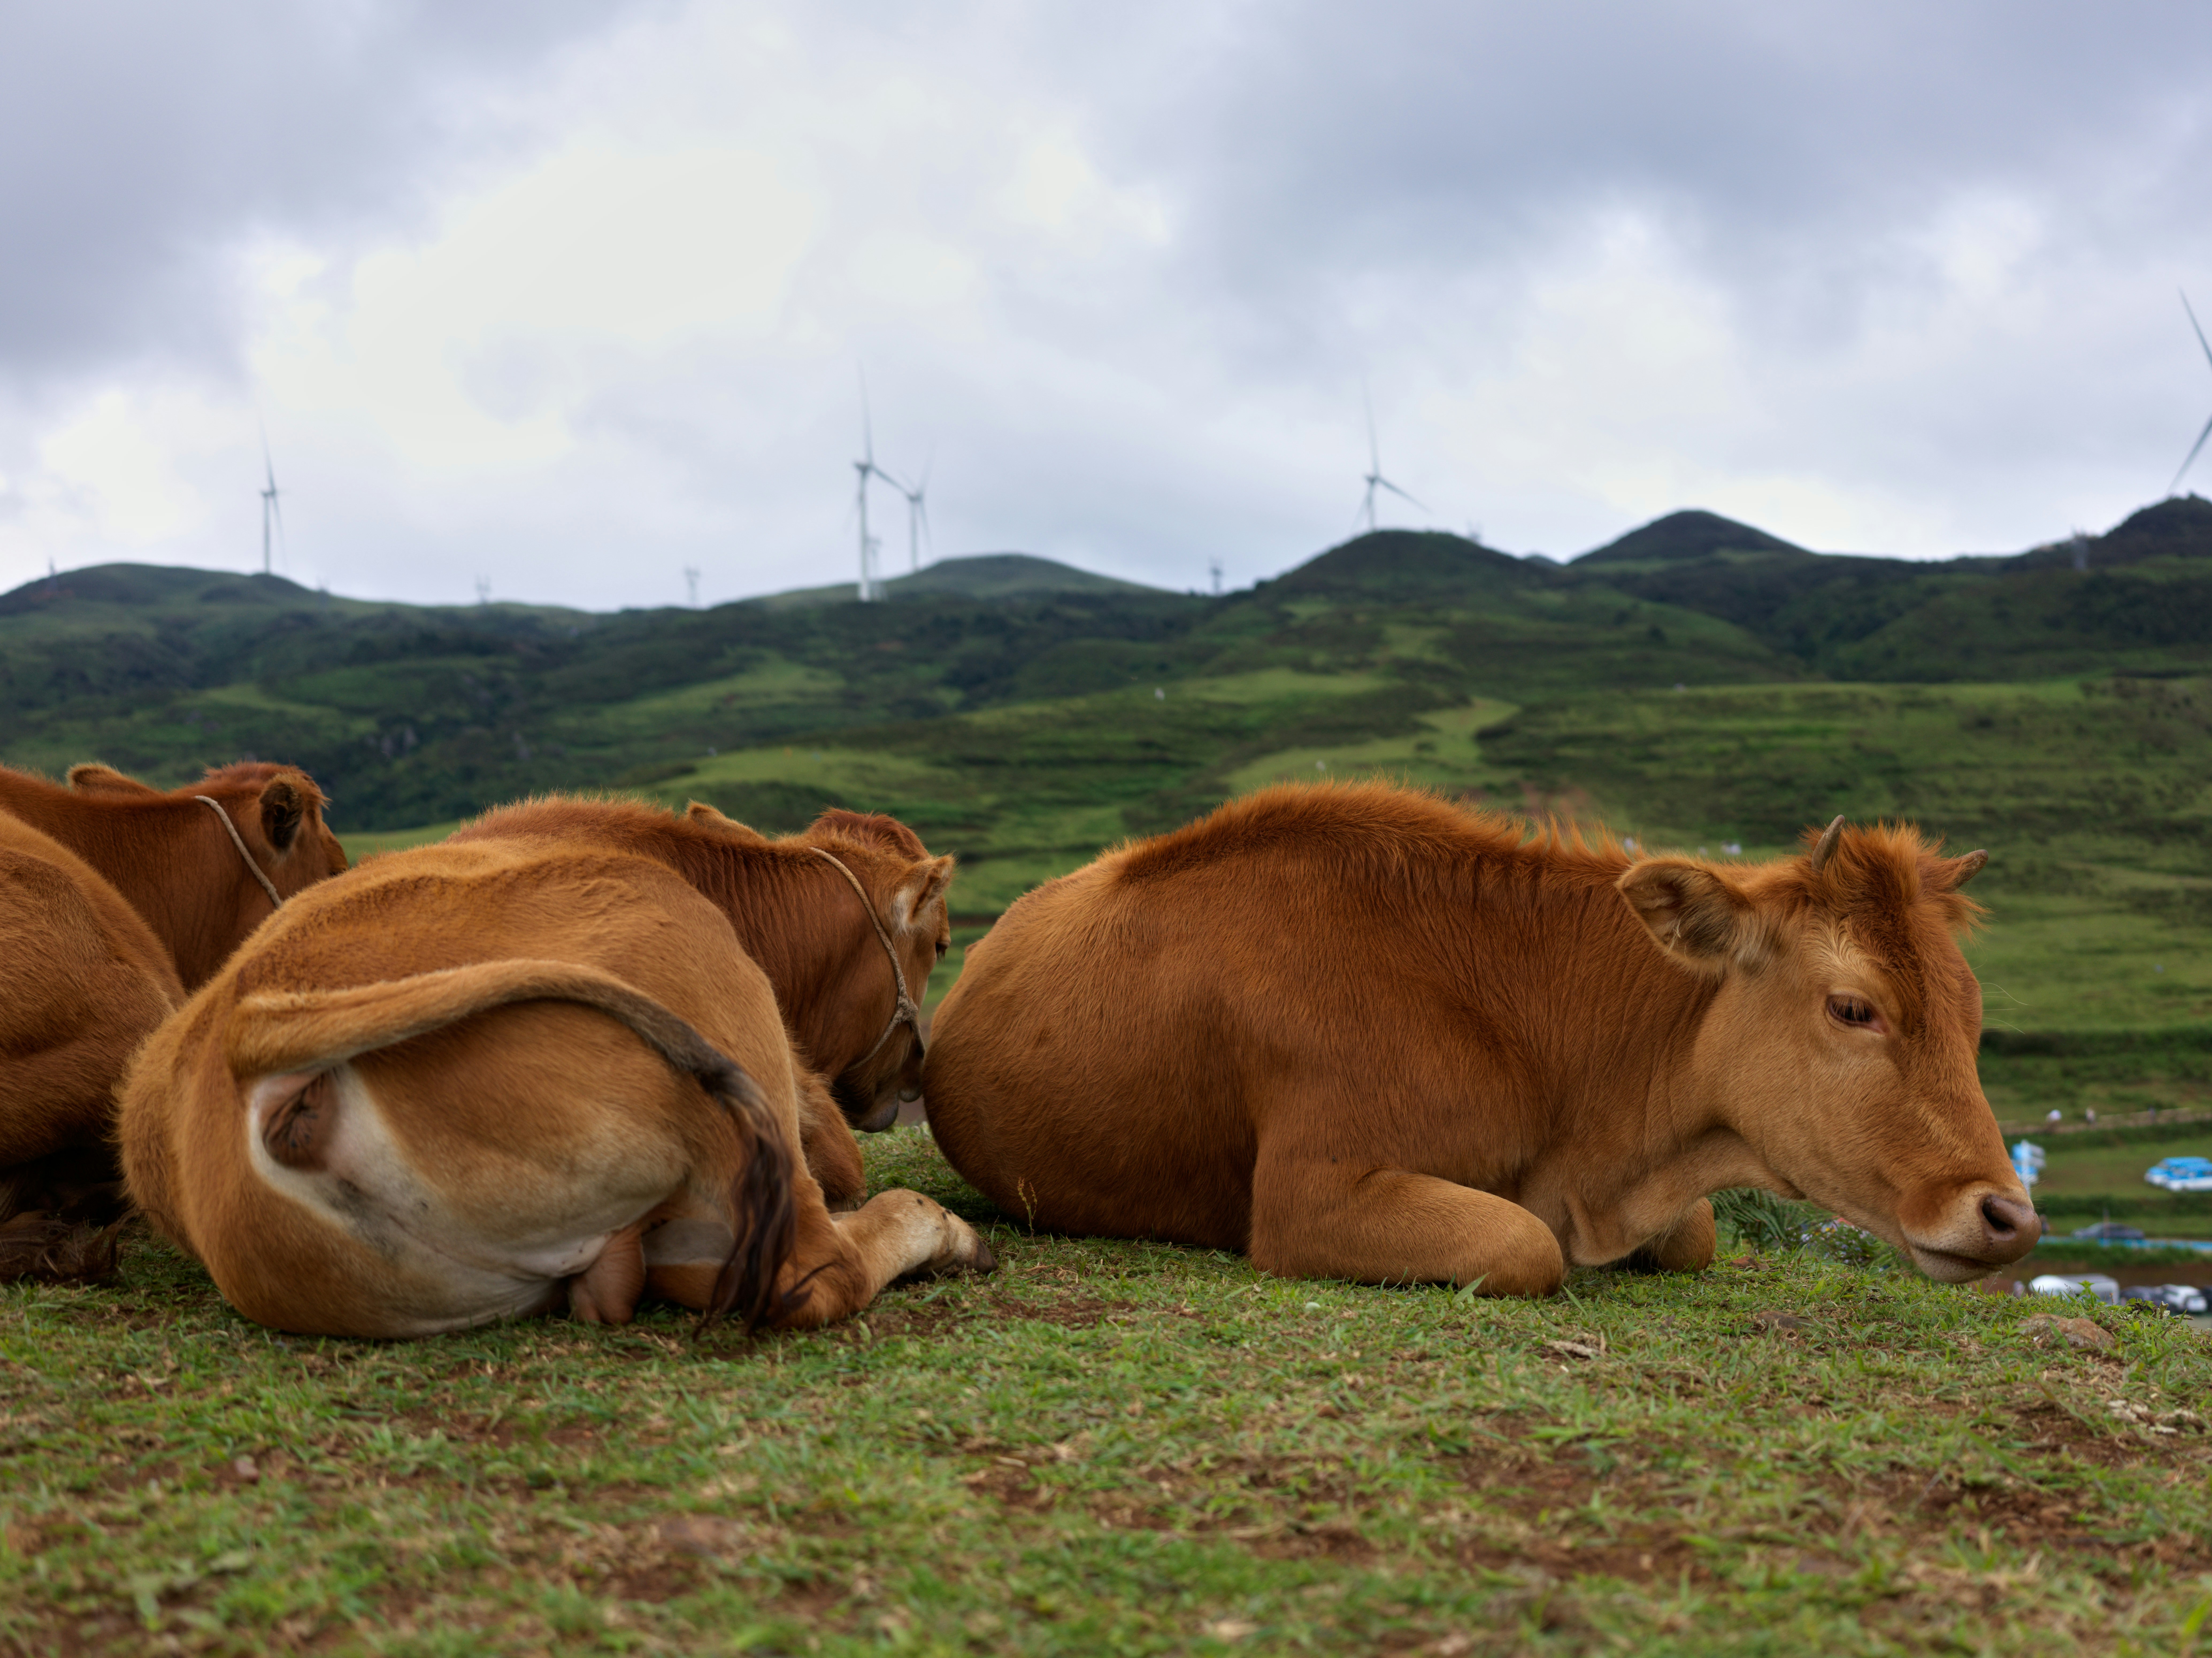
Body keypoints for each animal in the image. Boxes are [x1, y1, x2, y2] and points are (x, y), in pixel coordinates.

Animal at [921, 782, 2038, 1295]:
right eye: (1854, 1007)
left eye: (1975, 1012)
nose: (2009, 1216)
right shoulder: (1310, 1193)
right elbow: (1522, 1242)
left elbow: (1697, 1233)